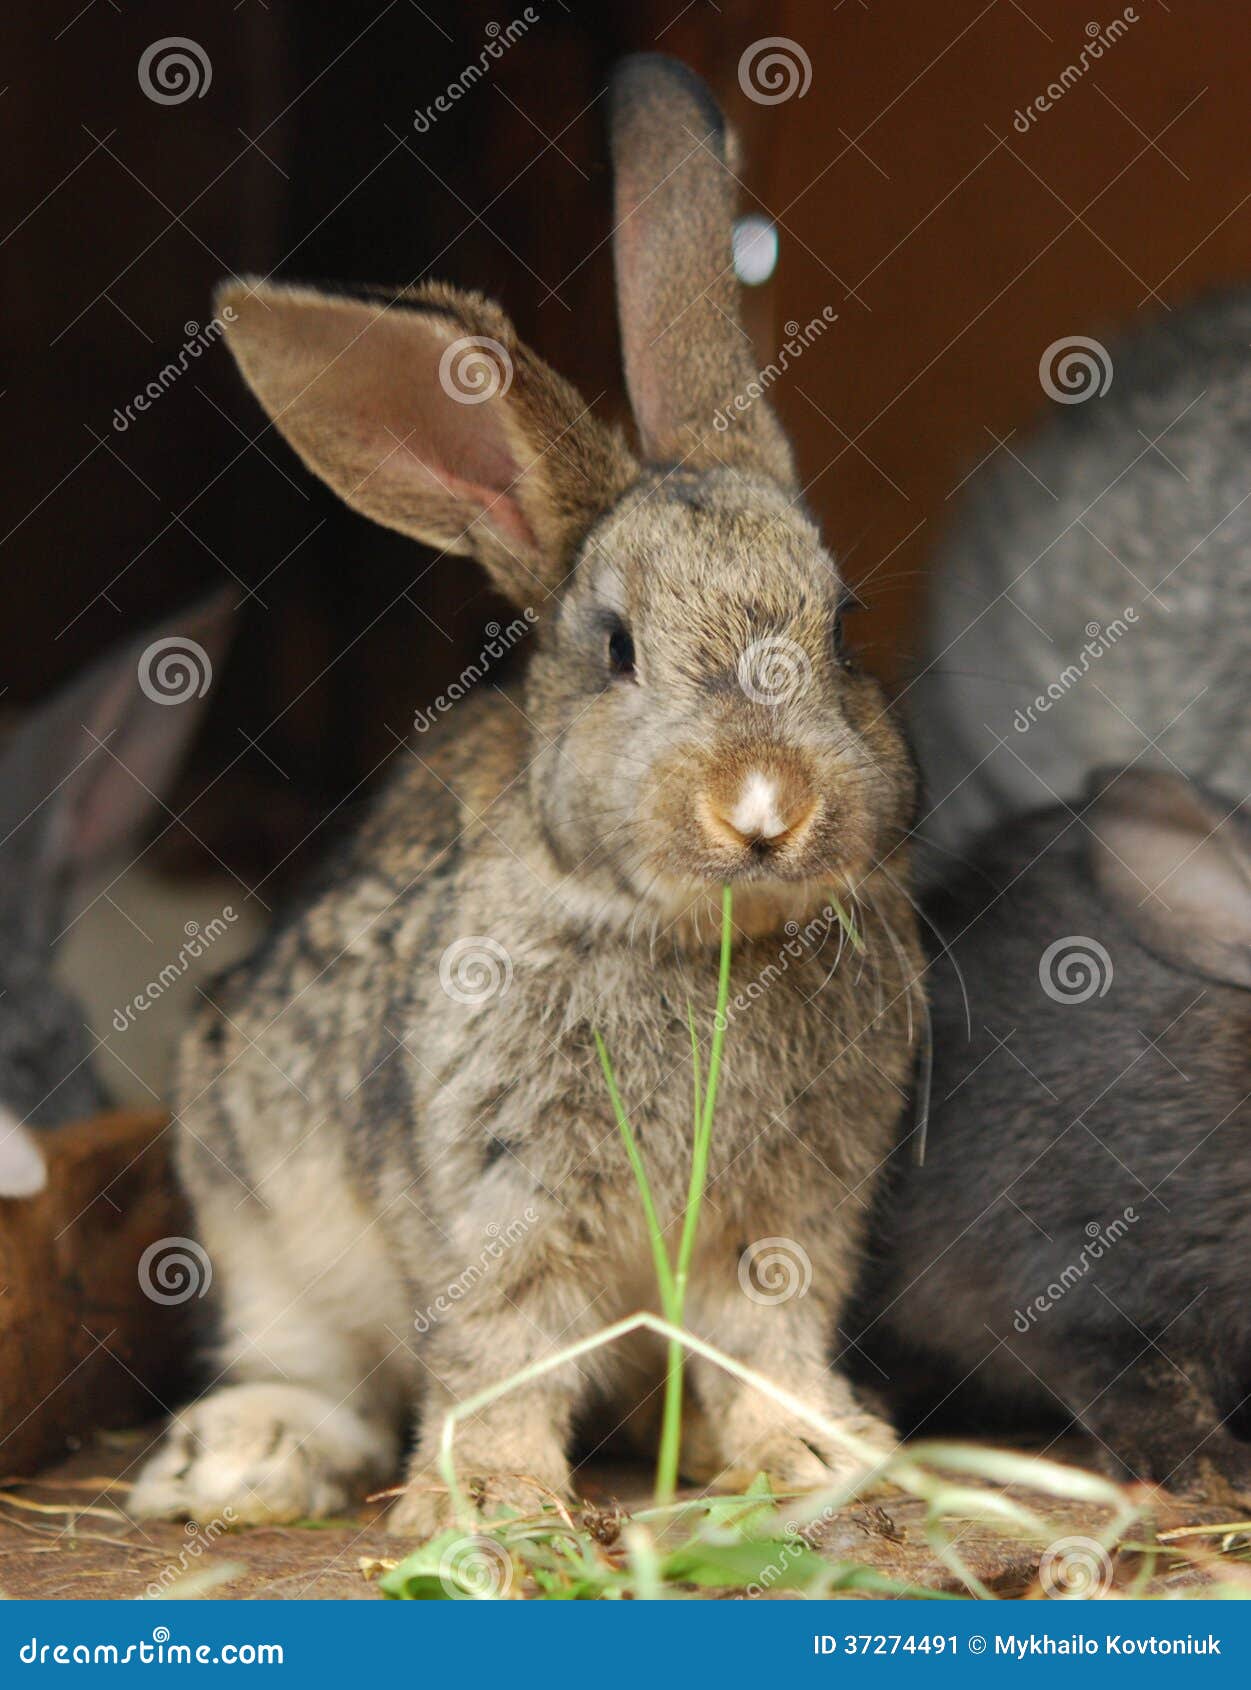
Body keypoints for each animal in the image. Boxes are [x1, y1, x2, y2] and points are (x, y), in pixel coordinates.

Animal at [127, 54, 926, 1538]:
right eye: (615, 647)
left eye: (841, 626)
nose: (764, 805)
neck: (699, 943)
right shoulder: (500, 1195)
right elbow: (502, 1345)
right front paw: (491, 1508)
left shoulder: (786, 1219)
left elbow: (762, 1337)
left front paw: (813, 1451)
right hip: (250, 1183)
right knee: (306, 1359)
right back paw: (245, 1457)